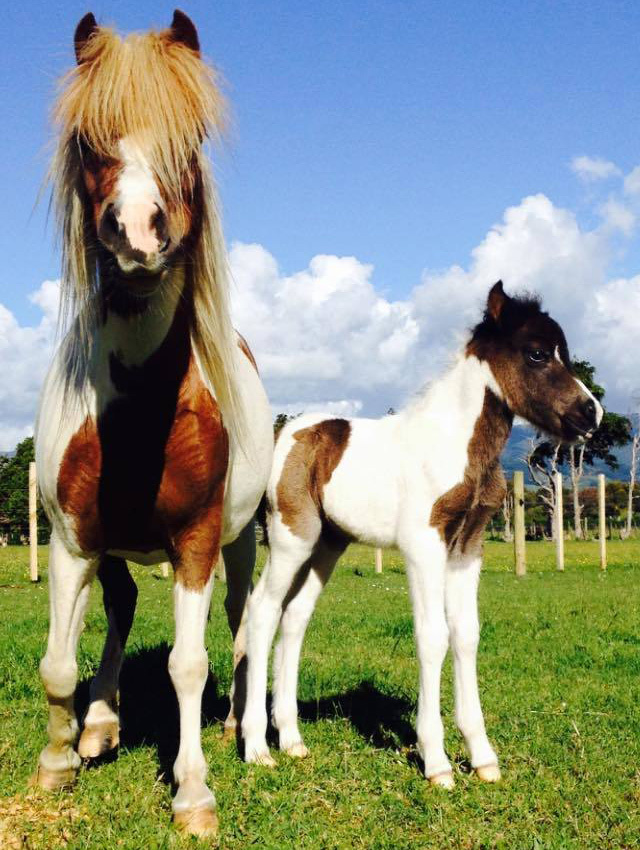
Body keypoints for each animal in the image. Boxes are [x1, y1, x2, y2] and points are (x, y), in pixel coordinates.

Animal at [33, 11, 273, 838]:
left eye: (191, 135)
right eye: (87, 139)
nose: (135, 231)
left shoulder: (197, 542)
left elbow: (188, 665)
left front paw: (193, 792)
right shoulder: (73, 539)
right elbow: (58, 662)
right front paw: (58, 758)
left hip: (239, 540)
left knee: (238, 621)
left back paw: (237, 728)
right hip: (110, 549)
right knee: (120, 606)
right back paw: (100, 724)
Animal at [241, 281, 602, 787]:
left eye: (564, 353)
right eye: (535, 353)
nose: (592, 413)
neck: (452, 445)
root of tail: (285, 433)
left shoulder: (467, 547)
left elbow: (466, 634)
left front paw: (483, 756)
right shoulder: (423, 546)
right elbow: (433, 636)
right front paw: (437, 761)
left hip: (328, 546)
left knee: (294, 618)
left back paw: (291, 738)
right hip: (292, 538)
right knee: (262, 610)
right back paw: (257, 747)